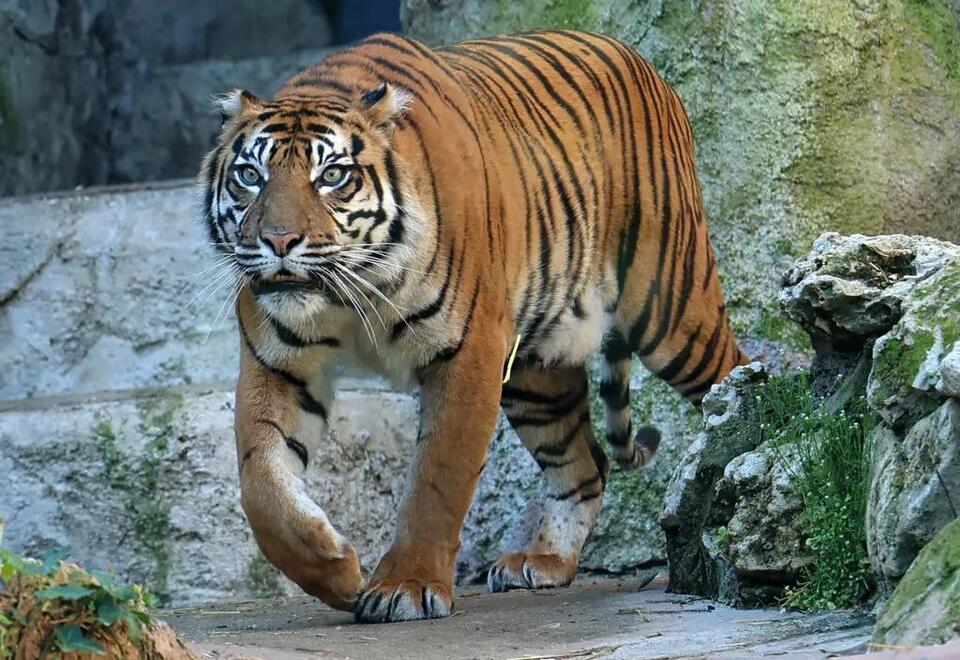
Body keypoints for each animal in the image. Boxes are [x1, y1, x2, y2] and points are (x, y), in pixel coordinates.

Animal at [199, 29, 747, 623]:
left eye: (332, 176)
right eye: (250, 176)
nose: (278, 241)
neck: (350, 292)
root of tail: (642, 63)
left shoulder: (468, 352)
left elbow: (438, 477)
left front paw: (406, 586)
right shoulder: (276, 364)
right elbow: (262, 485)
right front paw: (336, 571)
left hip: (672, 310)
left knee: (738, 375)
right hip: (537, 373)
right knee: (586, 463)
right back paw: (545, 562)